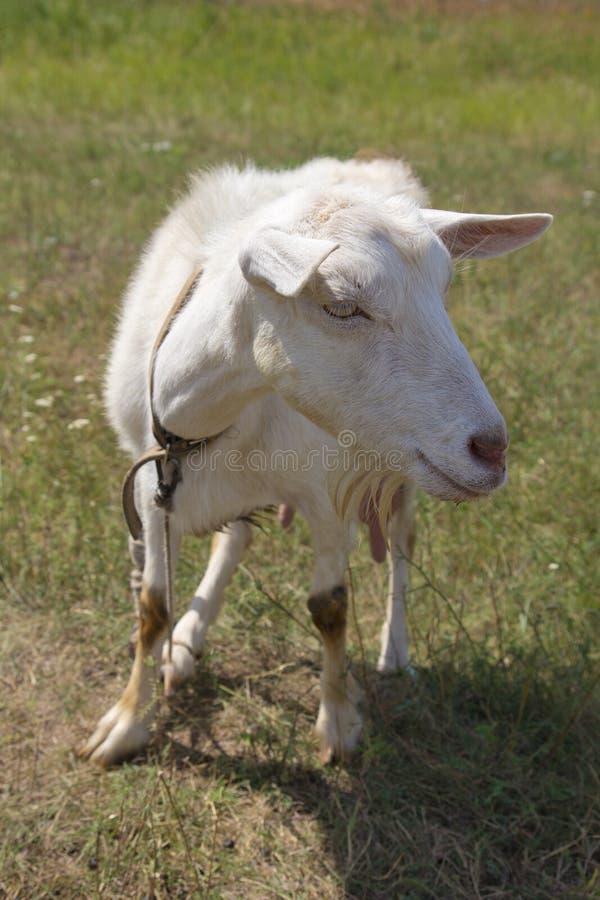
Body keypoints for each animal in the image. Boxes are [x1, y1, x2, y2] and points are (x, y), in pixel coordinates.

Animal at [81, 157, 551, 766]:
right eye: (342, 305)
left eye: (444, 291)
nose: (493, 449)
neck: (210, 414)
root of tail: (371, 162)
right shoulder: (154, 490)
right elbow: (153, 607)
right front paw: (124, 724)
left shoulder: (331, 490)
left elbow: (329, 607)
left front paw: (338, 725)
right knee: (237, 537)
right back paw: (189, 638)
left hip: (403, 467)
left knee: (402, 542)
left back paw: (395, 649)